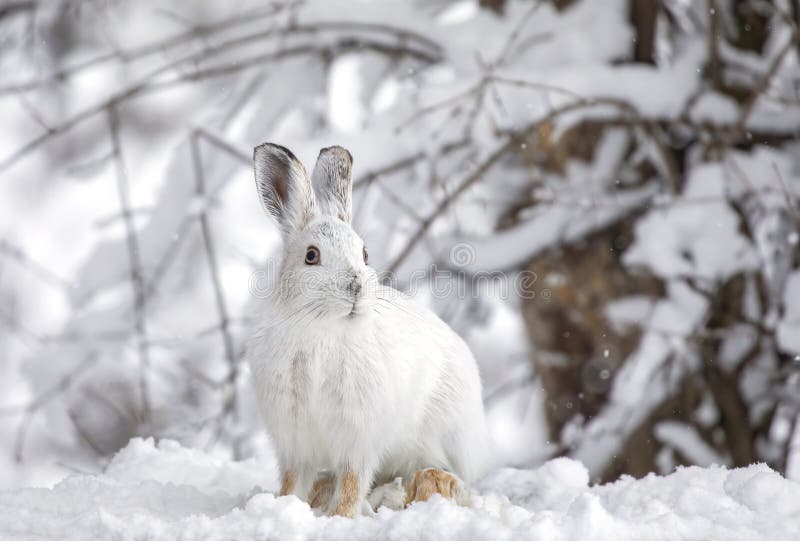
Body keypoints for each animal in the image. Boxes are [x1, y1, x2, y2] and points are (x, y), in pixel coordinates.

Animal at [246, 142, 489, 517]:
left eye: (364, 254)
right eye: (311, 256)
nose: (356, 288)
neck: (323, 330)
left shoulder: (358, 439)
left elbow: (351, 483)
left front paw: (340, 517)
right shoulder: (295, 442)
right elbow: (292, 482)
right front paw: (285, 506)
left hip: (445, 433)